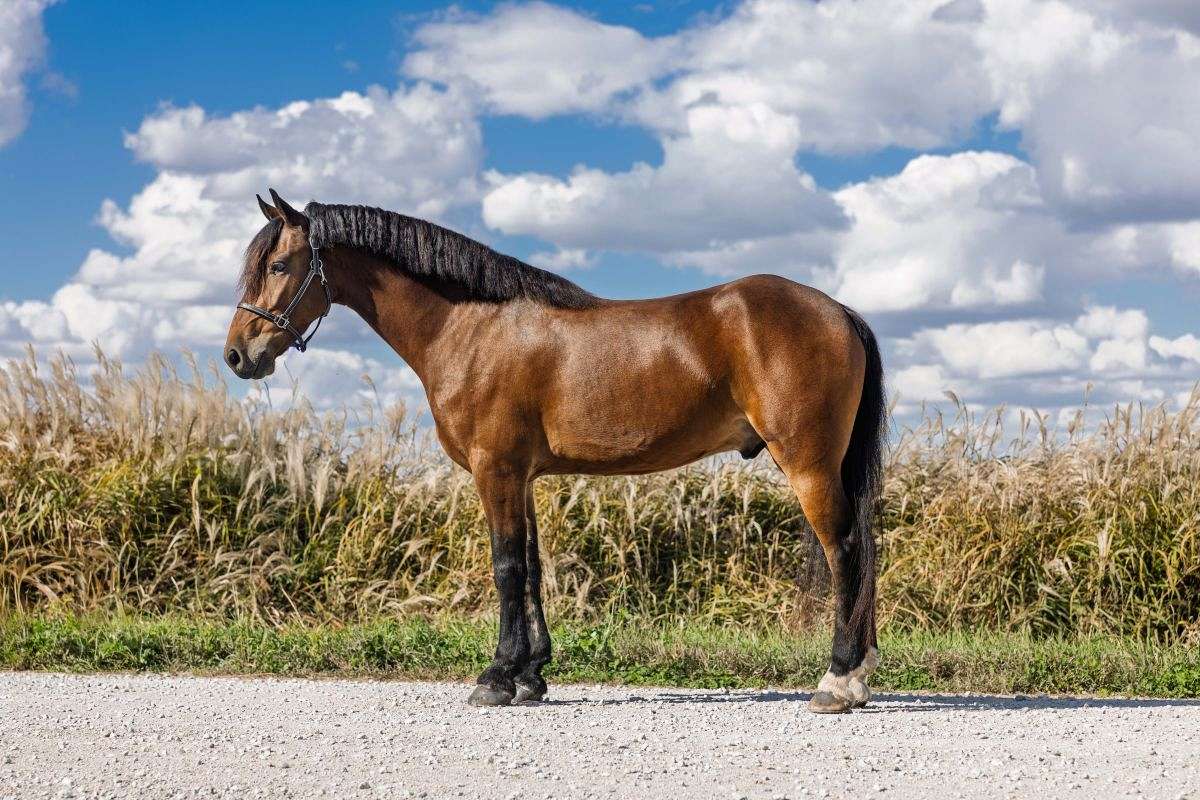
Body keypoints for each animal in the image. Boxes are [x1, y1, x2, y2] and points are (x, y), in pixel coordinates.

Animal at [224, 189, 886, 714]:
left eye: (278, 264)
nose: (236, 355)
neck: (470, 328)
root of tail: (840, 311)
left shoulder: (494, 469)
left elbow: (506, 567)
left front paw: (496, 678)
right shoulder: (520, 475)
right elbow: (532, 566)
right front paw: (531, 675)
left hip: (807, 464)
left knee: (846, 550)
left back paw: (838, 681)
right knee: (865, 547)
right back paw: (859, 675)